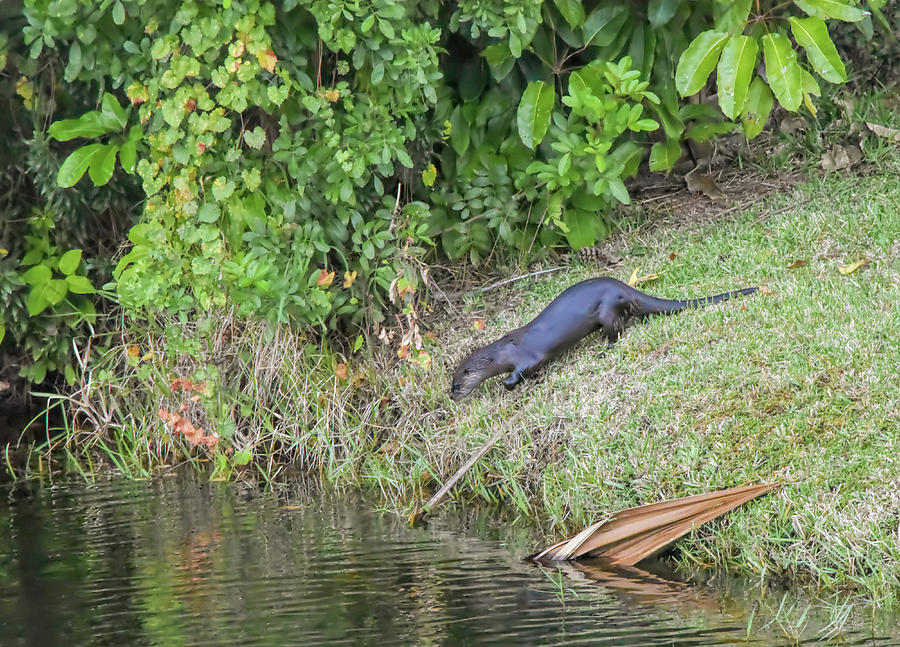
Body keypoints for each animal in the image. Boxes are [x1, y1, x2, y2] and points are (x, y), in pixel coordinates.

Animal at [450, 277, 757, 400]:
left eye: (456, 385)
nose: (453, 397)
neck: (504, 351)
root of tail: (626, 288)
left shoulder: (527, 357)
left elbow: (524, 371)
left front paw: (507, 383)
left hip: (608, 309)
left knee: (616, 332)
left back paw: (603, 349)